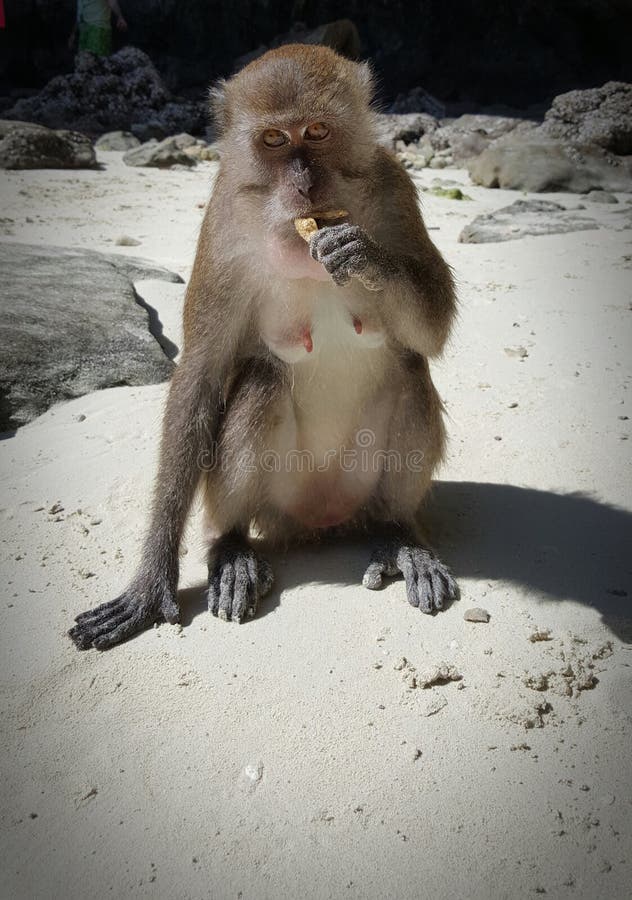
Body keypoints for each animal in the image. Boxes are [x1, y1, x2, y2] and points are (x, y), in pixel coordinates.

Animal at [69, 43, 458, 650]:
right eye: (275, 139)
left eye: (317, 131)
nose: (303, 183)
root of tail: (323, 520)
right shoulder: (224, 222)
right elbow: (201, 376)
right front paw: (152, 579)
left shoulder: (394, 186)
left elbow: (432, 329)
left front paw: (367, 257)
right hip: (280, 500)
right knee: (259, 385)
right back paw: (231, 548)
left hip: (359, 488)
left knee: (410, 373)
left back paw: (398, 534)